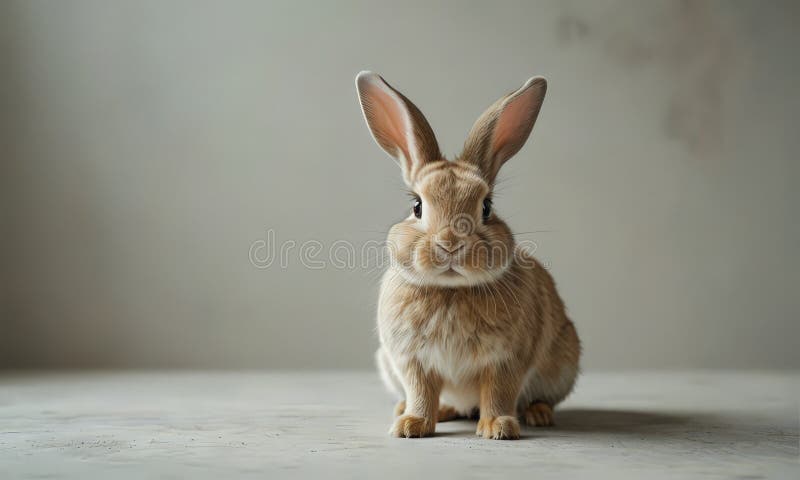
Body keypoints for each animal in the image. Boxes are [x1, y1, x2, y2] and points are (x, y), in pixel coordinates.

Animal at [355, 71, 581, 440]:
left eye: (487, 207)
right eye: (416, 206)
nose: (450, 243)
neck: (452, 291)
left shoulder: (507, 360)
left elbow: (498, 392)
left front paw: (498, 428)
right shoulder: (411, 361)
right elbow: (420, 390)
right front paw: (412, 425)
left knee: (538, 398)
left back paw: (538, 414)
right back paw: (428, 411)